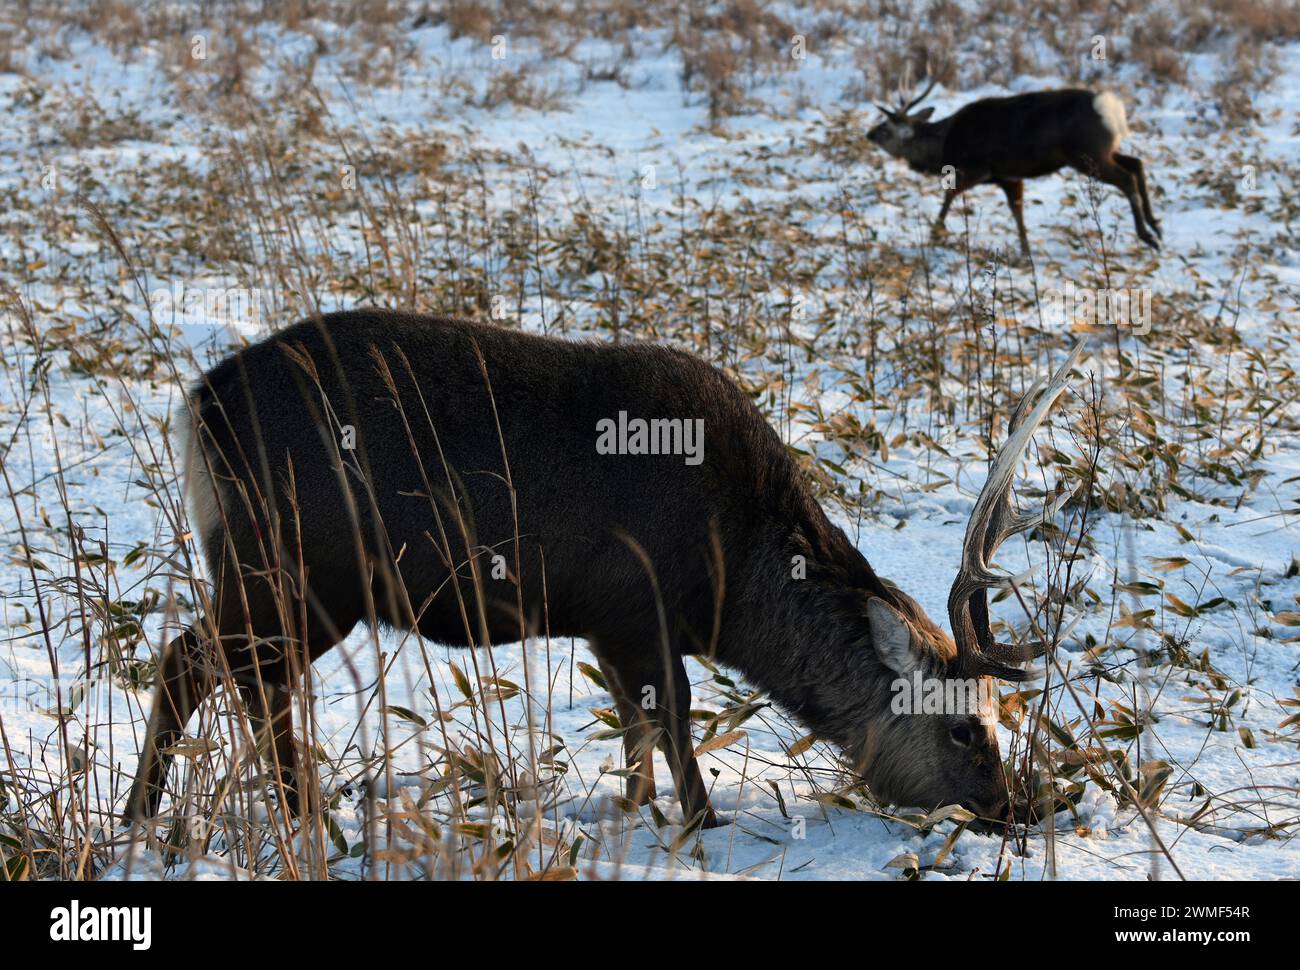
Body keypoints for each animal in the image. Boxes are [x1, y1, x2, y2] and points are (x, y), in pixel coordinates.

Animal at [127, 310, 1081, 831]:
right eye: (965, 729)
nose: (1019, 805)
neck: (734, 580)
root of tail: (196, 410)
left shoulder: (602, 622)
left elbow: (632, 725)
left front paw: (634, 809)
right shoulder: (635, 606)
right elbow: (674, 716)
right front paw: (698, 821)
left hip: (284, 578)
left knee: (232, 674)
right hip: (295, 566)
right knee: (199, 665)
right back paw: (240, 814)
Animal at [866, 69, 1161, 257]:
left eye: (886, 128)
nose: (868, 134)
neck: (943, 147)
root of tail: (1110, 107)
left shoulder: (977, 167)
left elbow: (950, 196)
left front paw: (934, 235)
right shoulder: (1008, 176)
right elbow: (1017, 210)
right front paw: (1025, 250)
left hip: (1086, 153)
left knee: (1126, 178)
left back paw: (1147, 235)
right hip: (1103, 150)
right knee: (1137, 163)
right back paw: (1156, 225)